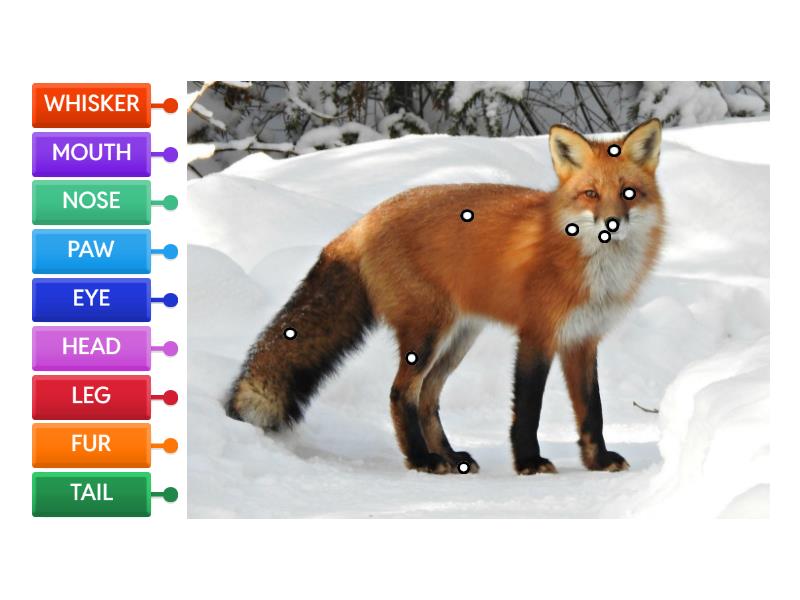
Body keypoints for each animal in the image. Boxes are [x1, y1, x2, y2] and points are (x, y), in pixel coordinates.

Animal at [227, 118, 665, 475]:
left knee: (427, 398)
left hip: (458, 339)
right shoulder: (536, 335)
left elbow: (593, 411)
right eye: (591, 193)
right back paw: (421, 459)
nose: (612, 223)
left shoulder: (582, 340)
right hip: (428, 333)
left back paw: (449, 457)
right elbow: (528, 408)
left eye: (629, 193)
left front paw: (597, 461)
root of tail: (361, 223)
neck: (589, 266)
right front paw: (528, 462)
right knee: (401, 393)